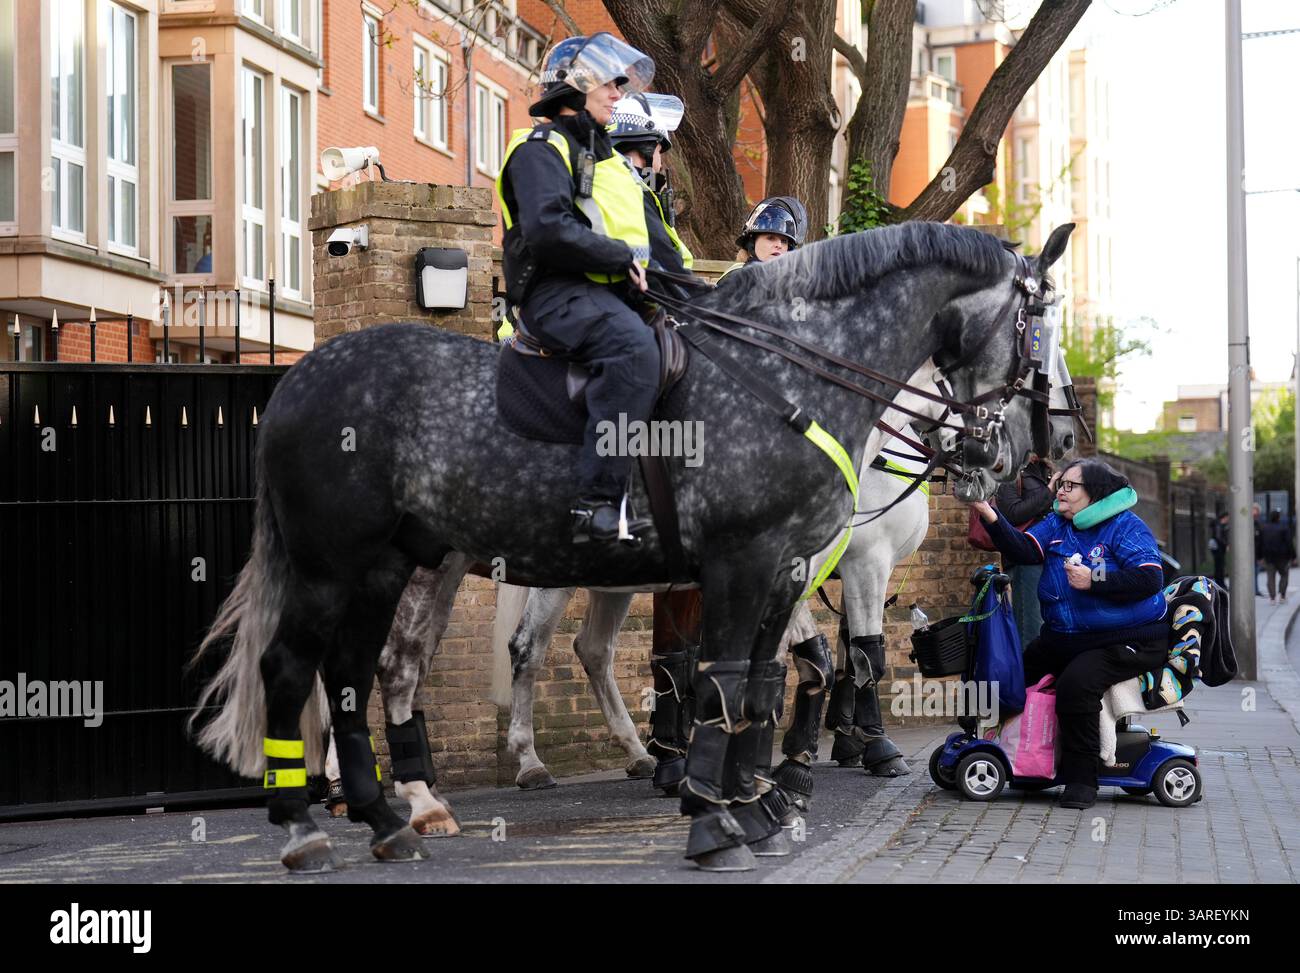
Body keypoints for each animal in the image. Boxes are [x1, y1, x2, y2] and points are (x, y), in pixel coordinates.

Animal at [190, 221, 1073, 873]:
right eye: (1039, 330)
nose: (1040, 447)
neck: (783, 376)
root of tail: (300, 376)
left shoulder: (784, 568)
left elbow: (767, 679)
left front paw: (753, 800)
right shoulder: (750, 564)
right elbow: (735, 678)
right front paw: (721, 818)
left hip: (392, 565)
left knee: (359, 672)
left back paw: (390, 814)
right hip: (336, 565)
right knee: (299, 668)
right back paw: (318, 822)